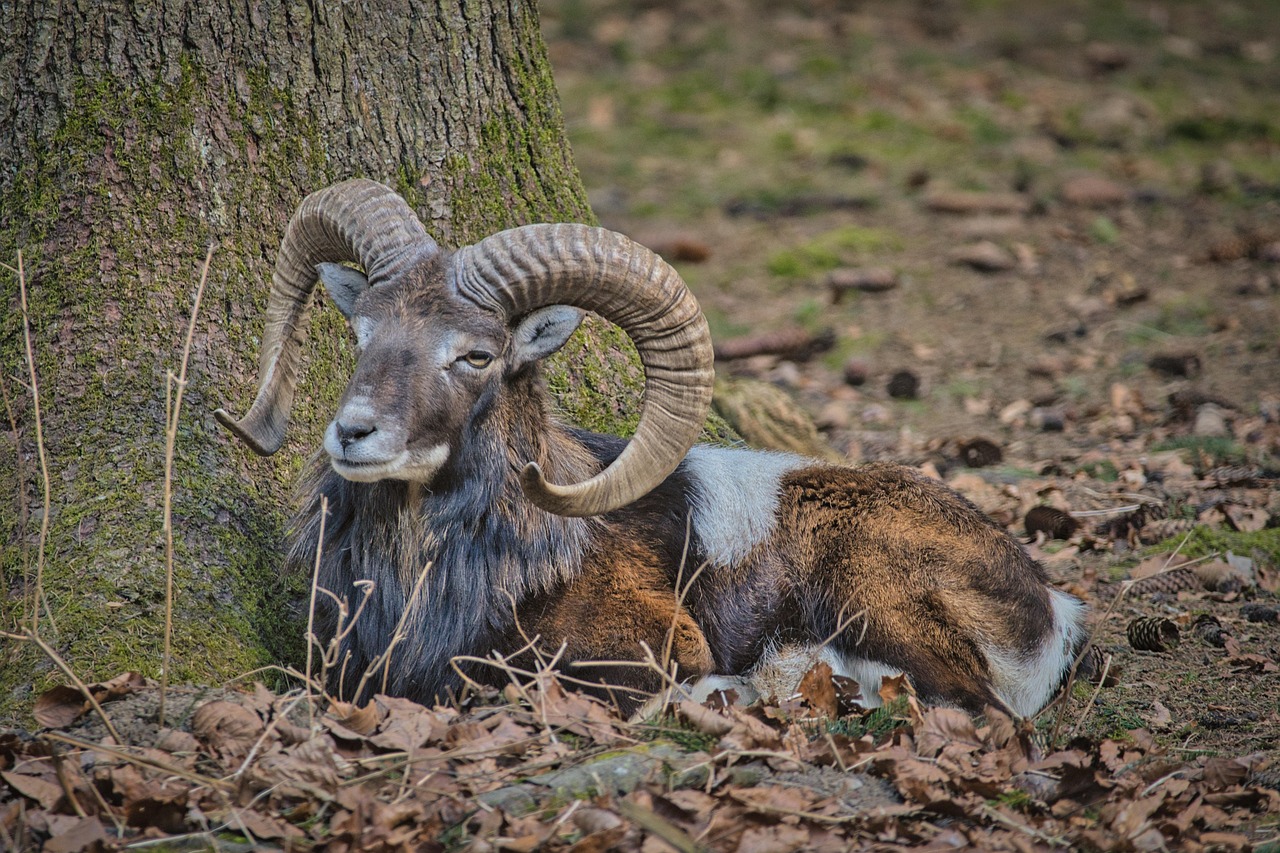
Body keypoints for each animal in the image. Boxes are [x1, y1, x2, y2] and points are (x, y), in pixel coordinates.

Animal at [217, 178, 1087, 718]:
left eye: (476, 354)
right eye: (361, 331)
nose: (353, 432)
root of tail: (1051, 611)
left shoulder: (647, 649)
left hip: (875, 601)